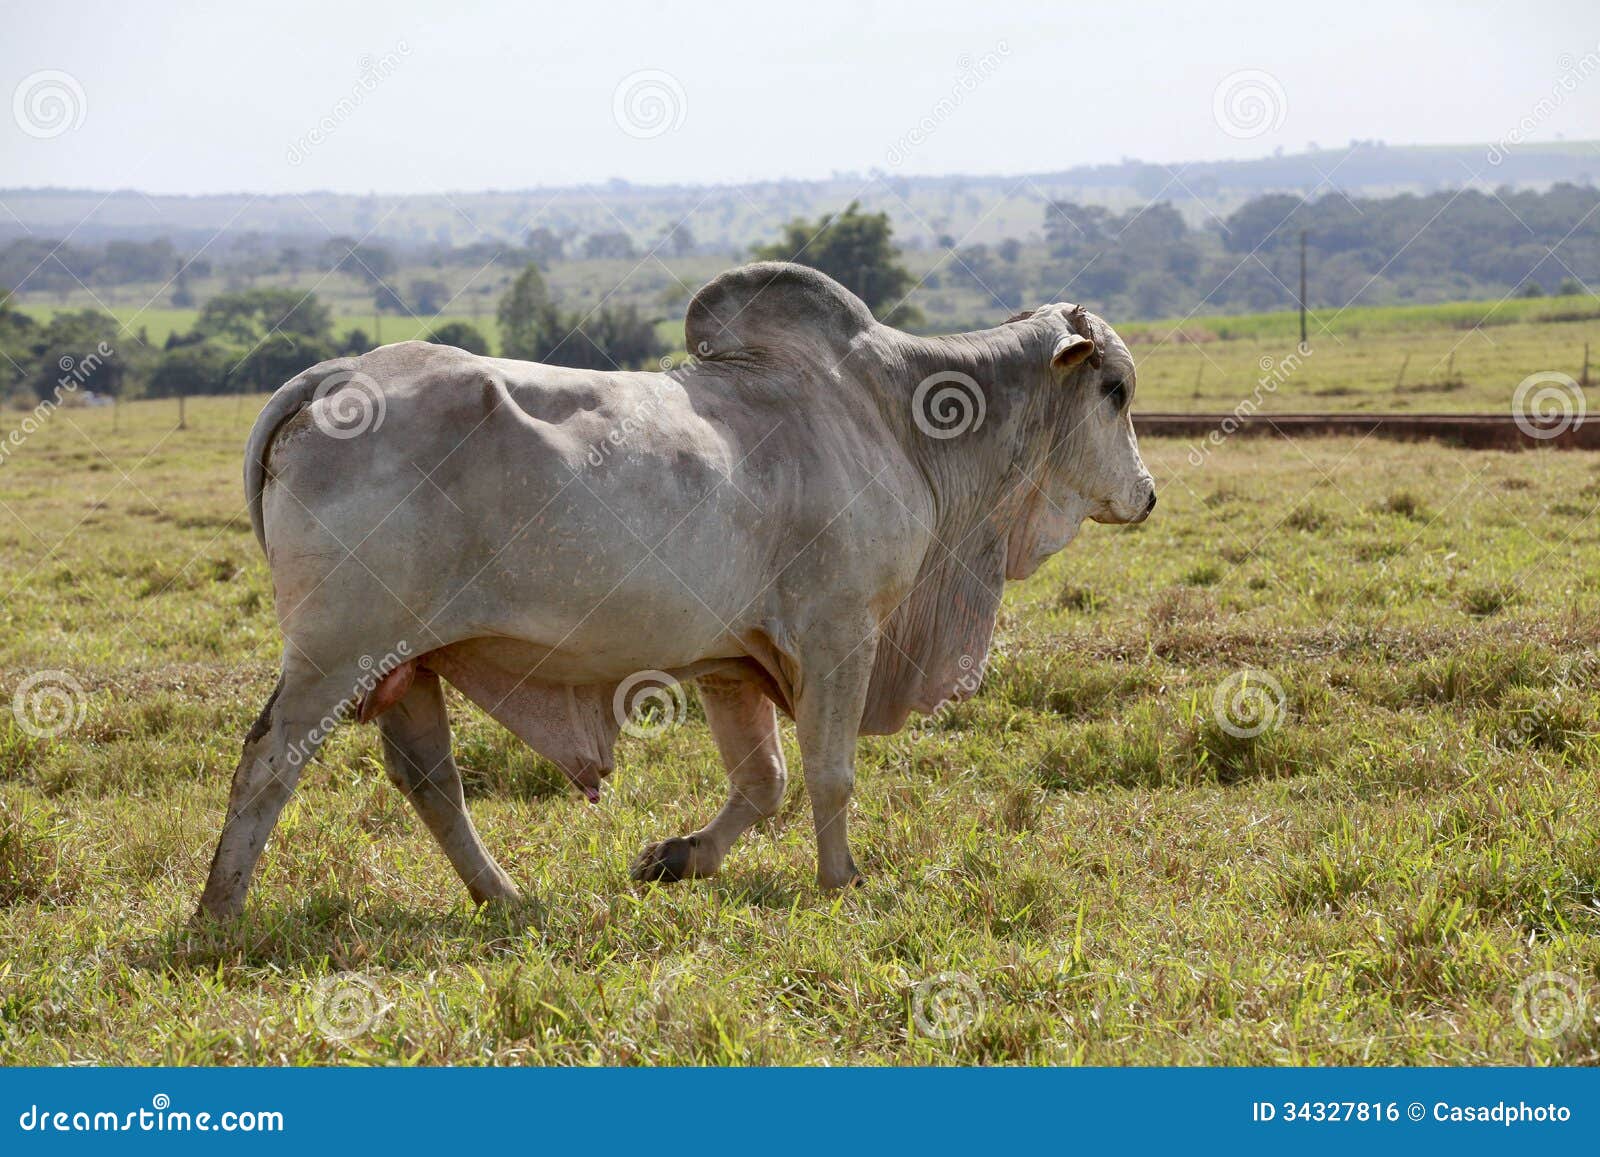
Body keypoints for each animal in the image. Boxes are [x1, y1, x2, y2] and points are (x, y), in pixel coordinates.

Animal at [195, 262, 1155, 921]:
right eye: (1115, 390)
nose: (1146, 494)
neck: (897, 415)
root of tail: (336, 375)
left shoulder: (731, 661)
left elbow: (764, 779)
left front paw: (676, 857)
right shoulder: (841, 633)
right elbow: (829, 772)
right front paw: (841, 878)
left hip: (410, 662)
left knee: (431, 781)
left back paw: (503, 895)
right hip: (337, 652)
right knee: (268, 761)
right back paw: (219, 912)